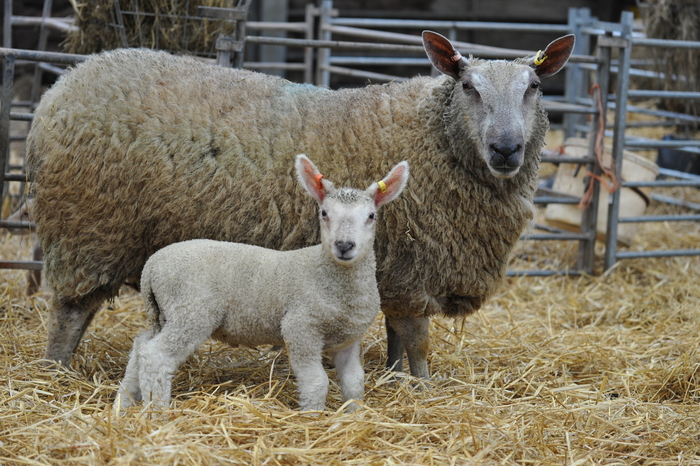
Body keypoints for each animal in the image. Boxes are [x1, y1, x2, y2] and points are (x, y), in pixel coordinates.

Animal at [27, 31, 575, 378]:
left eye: (534, 87)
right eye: (468, 86)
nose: (506, 148)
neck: (436, 139)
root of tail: (62, 86)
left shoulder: (396, 272)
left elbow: (398, 338)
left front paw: (396, 380)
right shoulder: (415, 268)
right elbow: (417, 340)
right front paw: (422, 387)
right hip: (89, 227)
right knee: (70, 312)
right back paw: (56, 373)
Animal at [116, 154, 409, 411]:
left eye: (371, 216)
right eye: (324, 213)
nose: (344, 246)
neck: (325, 273)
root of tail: (152, 265)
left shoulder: (348, 339)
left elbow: (354, 383)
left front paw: (353, 415)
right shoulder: (300, 327)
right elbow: (317, 382)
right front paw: (312, 417)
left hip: (165, 313)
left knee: (141, 347)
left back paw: (123, 406)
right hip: (191, 312)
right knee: (156, 356)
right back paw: (157, 412)